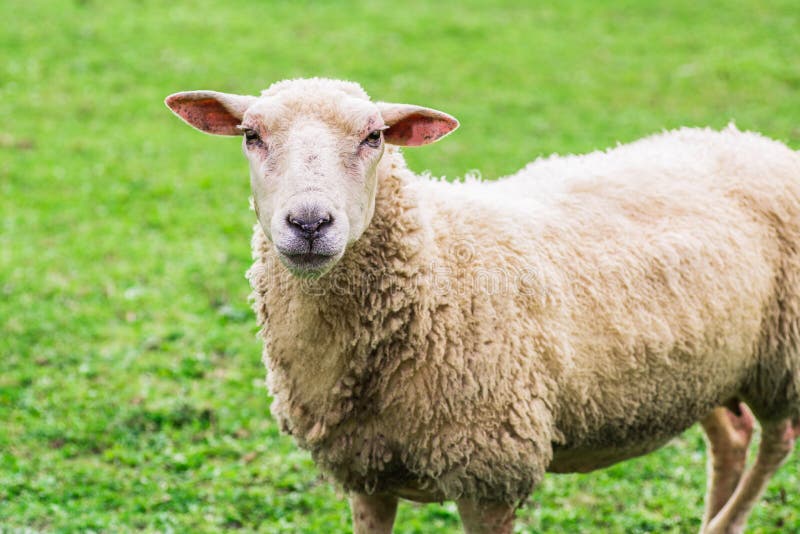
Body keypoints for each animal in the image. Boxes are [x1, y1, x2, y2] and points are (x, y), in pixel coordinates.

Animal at [165, 77, 800, 534]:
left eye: (375, 137)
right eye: (250, 134)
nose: (309, 223)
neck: (438, 266)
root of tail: (752, 139)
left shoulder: (489, 473)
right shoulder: (366, 475)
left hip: (781, 357)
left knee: (776, 440)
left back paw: (724, 523)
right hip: (699, 369)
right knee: (731, 437)